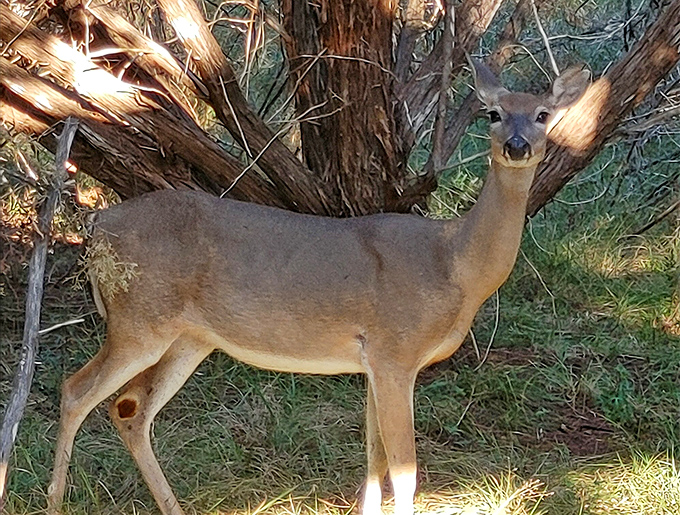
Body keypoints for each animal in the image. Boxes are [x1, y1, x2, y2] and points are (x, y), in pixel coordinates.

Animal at [46, 61, 589, 515]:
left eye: (542, 115)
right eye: (494, 113)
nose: (517, 145)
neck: (453, 266)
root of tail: (98, 225)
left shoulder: (374, 362)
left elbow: (373, 461)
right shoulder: (395, 350)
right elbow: (405, 472)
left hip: (189, 338)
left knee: (130, 409)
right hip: (139, 319)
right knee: (75, 390)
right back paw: (54, 501)